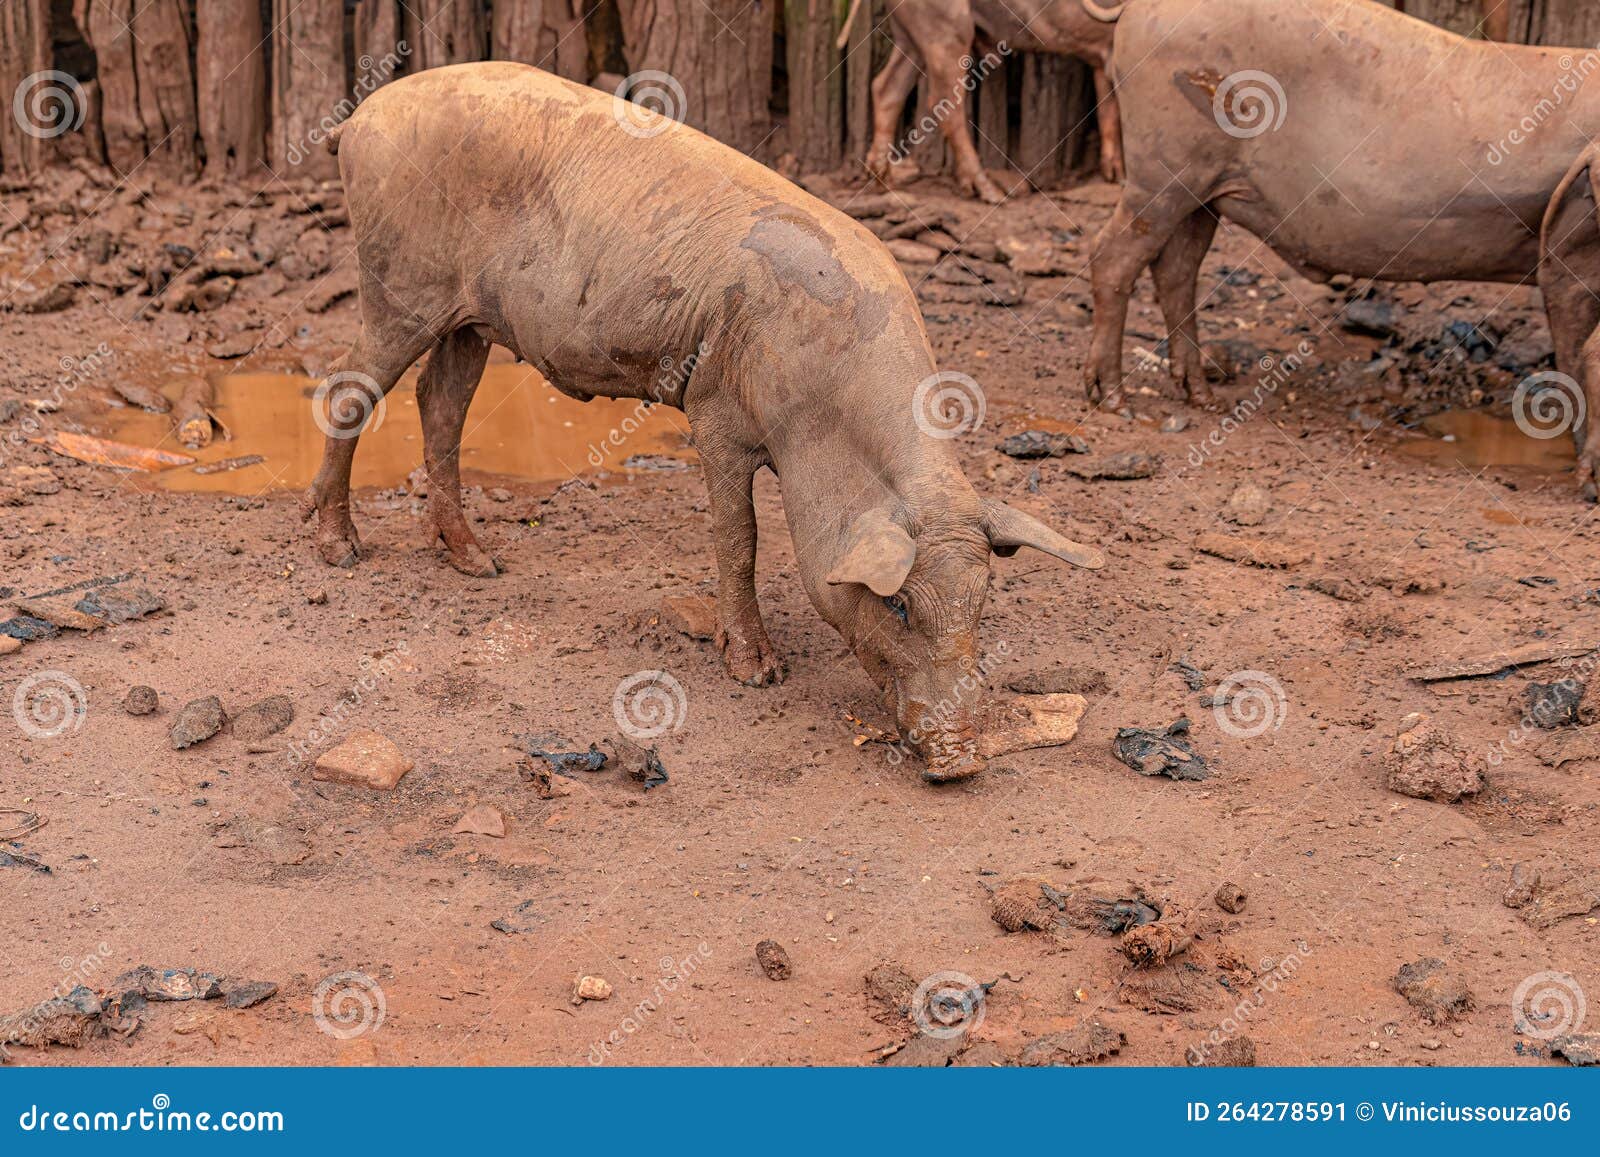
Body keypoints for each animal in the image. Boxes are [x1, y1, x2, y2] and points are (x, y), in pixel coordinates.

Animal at [301, 63, 1106, 783]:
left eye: (982, 604)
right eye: (902, 607)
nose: (962, 760)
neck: (826, 418)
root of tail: (362, 117)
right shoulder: (715, 407)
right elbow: (739, 539)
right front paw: (759, 673)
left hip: (470, 316)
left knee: (440, 402)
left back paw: (478, 562)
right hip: (397, 284)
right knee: (348, 387)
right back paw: (341, 551)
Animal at [842, 0, 1124, 203]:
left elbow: (1109, 109)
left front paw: (1115, 175)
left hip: (909, 37)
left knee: (886, 87)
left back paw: (882, 181)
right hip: (947, 31)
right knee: (945, 102)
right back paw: (989, 191)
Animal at [1083, 0, 1600, 491]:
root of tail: (1134, 10)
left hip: (1202, 190)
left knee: (1176, 269)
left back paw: (1201, 395)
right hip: (1162, 168)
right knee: (1112, 257)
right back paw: (1114, 400)